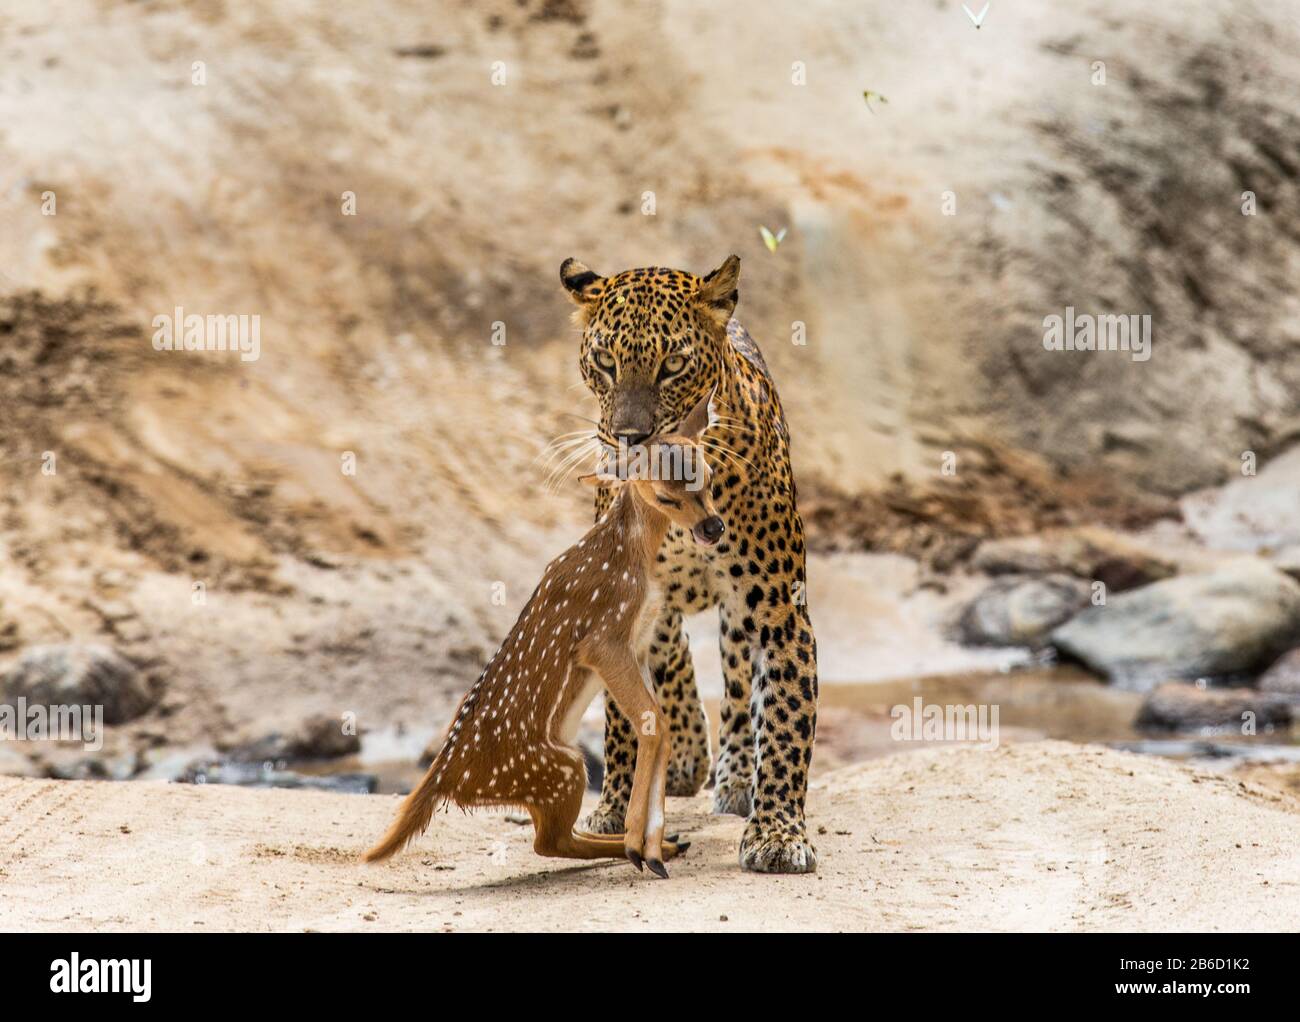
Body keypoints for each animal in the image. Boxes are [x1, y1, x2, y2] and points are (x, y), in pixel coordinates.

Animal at [559, 254, 819, 873]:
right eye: (605, 361)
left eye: (673, 364)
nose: (629, 437)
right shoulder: (615, 601)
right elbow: (623, 718)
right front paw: (615, 808)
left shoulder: (780, 610)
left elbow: (784, 718)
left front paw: (777, 833)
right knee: (670, 652)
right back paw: (681, 758)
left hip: (740, 619)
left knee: (737, 689)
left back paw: (734, 778)